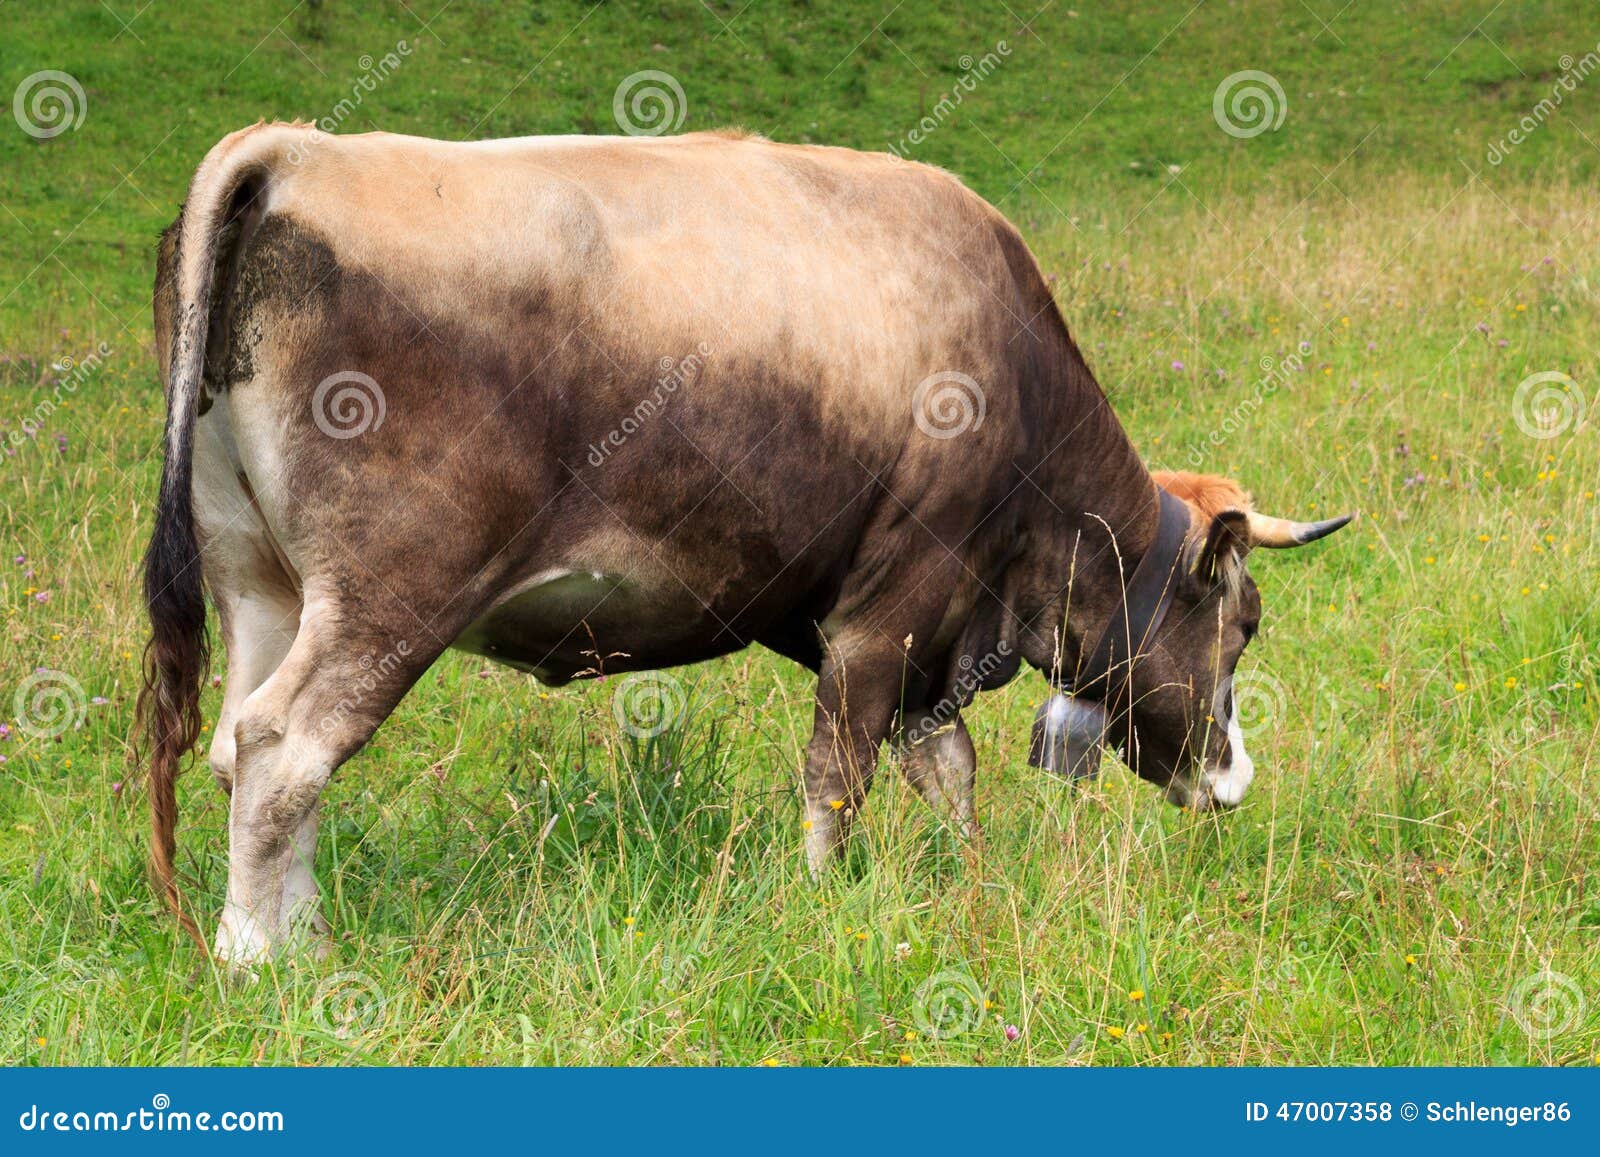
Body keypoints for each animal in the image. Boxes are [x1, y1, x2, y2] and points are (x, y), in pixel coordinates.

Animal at [140, 123, 1351, 964]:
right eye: (1243, 622)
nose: (1234, 776)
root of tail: (299, 151)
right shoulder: (892, 603)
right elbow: (839, 772)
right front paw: (824, 902)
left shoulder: (914, 636)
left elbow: (944, 766)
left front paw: (967, 883)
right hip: (392, 589)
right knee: (286, 745)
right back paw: (261, 958)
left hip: (261, 581)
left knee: (236, 743)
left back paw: (298, 934)